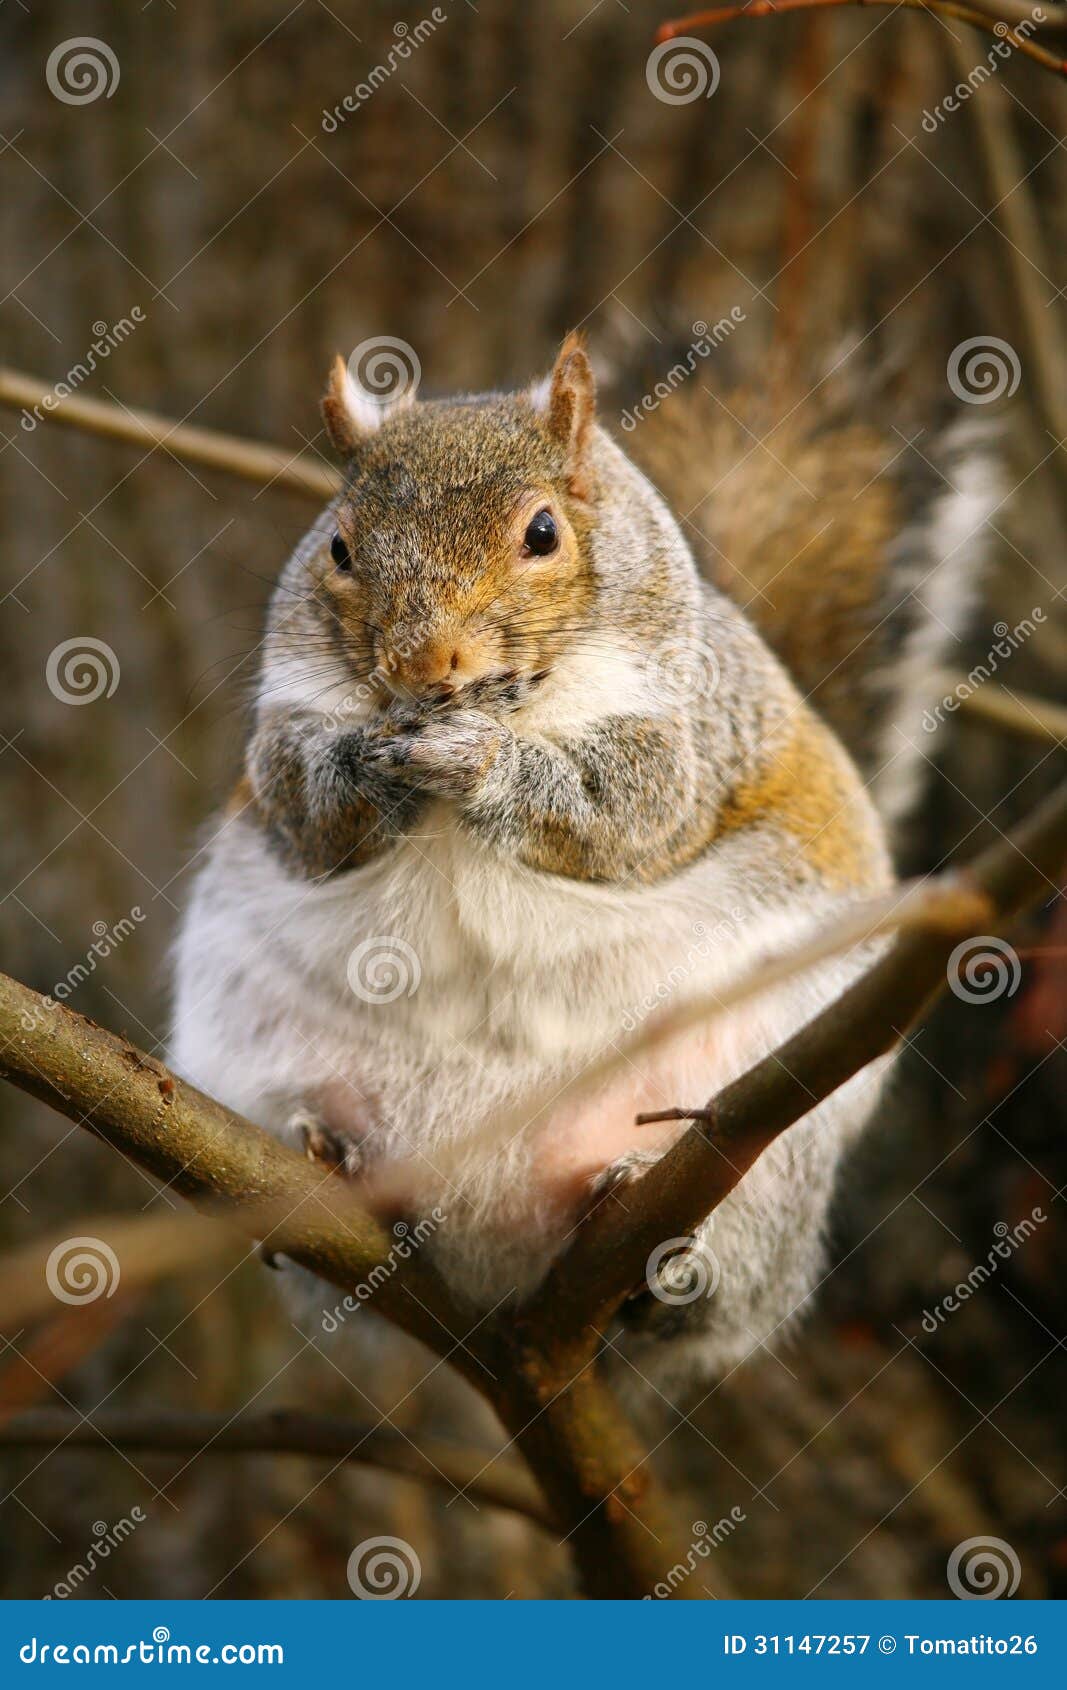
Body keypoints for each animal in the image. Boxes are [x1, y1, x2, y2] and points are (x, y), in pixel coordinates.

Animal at [169, 334, 995, 1388]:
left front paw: (481, 763)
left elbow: (628, 815)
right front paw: (367, 761)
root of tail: (502, 1272)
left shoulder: (688, 735)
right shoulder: (281, 738)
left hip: (769, 1150)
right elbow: (307, 810)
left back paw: (670, 1262)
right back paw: (328, 1152)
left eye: (543, 532)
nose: (423, 664)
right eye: (339, 548)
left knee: (726, 1283)